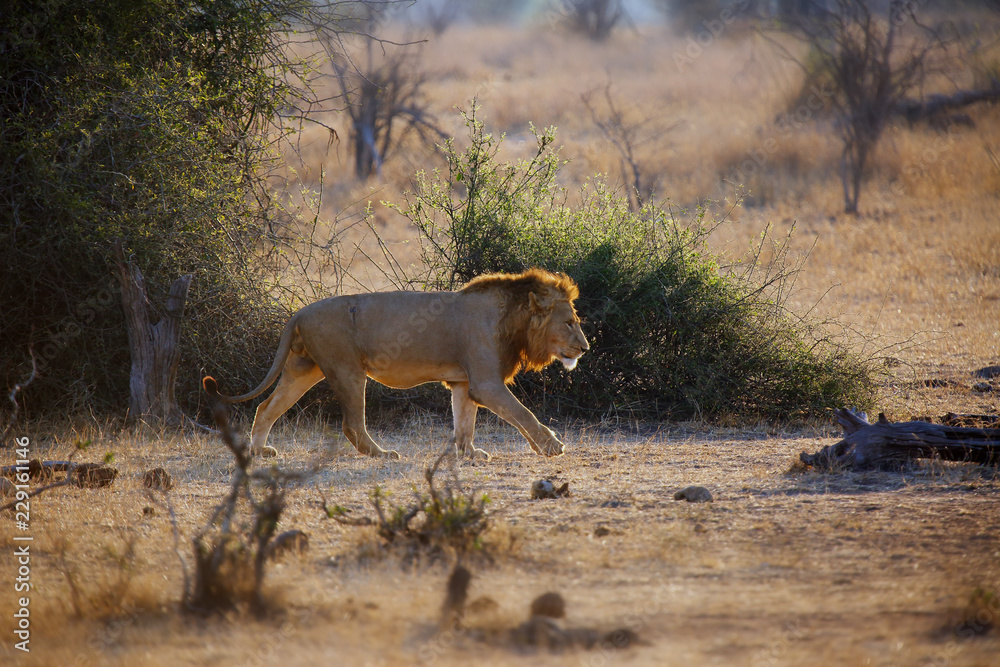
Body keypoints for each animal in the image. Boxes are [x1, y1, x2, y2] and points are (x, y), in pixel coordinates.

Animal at [203, 268, 589, 460]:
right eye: (569, 322)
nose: (584, 348)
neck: (515, 321)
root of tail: (300, 312)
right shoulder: (487, 383)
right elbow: (523, 413)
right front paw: (552, 446)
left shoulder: (464, 383)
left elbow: (464, 421)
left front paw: (469, 454)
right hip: (347, 370)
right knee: (351, 425)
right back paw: (383, 454)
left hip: (302, 369)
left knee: (266, 406)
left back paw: (258, 451)